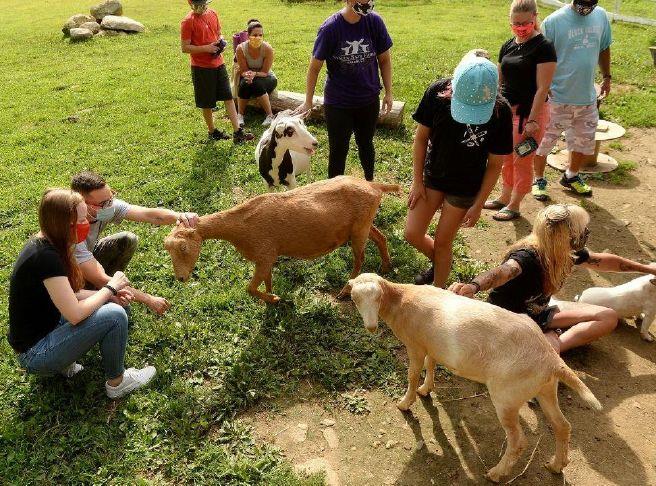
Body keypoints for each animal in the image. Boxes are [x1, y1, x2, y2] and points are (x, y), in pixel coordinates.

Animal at [164, 176, 399, 303]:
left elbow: (250, 289)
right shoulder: (267, 257)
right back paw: (386, 266)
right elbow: (267, 280)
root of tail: (375, 187)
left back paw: (344, 291)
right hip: (363, 225)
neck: (240, 226)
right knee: (381, 238)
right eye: (167, 249)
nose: (181, 278)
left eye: (183, 247)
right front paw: (270, 298)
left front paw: (274, 299)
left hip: (359, 230)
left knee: (359, 259)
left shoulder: (264, 255)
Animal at [347, 273, 602, 483]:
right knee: (563, 426)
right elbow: (431, 365)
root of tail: (551, 359)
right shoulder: (432, 345)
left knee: (518, 441)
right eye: (355, 298)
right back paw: (557, 465)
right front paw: (426, 389)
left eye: (377, 297)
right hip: (545, 389)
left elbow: (412, 375)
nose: (371, 327)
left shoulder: (415, 346)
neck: (401, 300)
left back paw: (496, 473)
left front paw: (405, 403)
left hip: (507, 397)